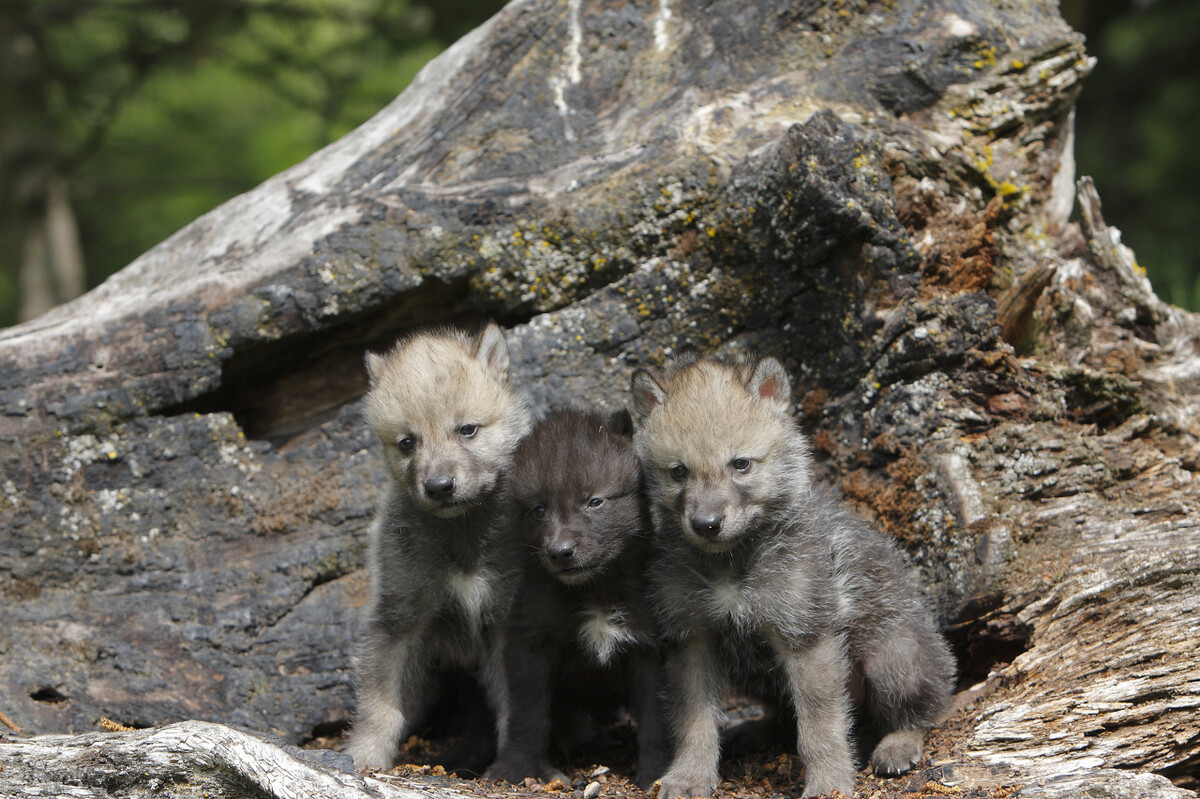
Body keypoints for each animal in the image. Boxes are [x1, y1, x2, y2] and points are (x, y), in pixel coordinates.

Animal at [345, 322, 534, 772]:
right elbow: (379, 704)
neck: (461, 534)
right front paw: (364, 756)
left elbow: (512, 704)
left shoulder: (505, 620)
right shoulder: (398, 621)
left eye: (467, 430)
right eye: (407, 443)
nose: (439, 487)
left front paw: (511, 765)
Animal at [485, 408, 669, 788]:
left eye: (595, 501)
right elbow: (527, 715)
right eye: (539, 510)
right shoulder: (531, 644)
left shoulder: (649, 650)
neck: (594, 590)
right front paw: (515, 767)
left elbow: (655, 721)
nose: (560, 551)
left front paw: (656, 774)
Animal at [630, 352, 954, 799]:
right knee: (782, 718)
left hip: (893, 659)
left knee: (926, 709)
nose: (706, 524)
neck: (731, 564)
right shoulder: (691, 641)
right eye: (678, 472)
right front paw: (689, 776)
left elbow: (820, 728)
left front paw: (829, 784)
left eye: (741, 465)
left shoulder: (807, 640)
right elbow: (694, 723)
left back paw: (898, 744)